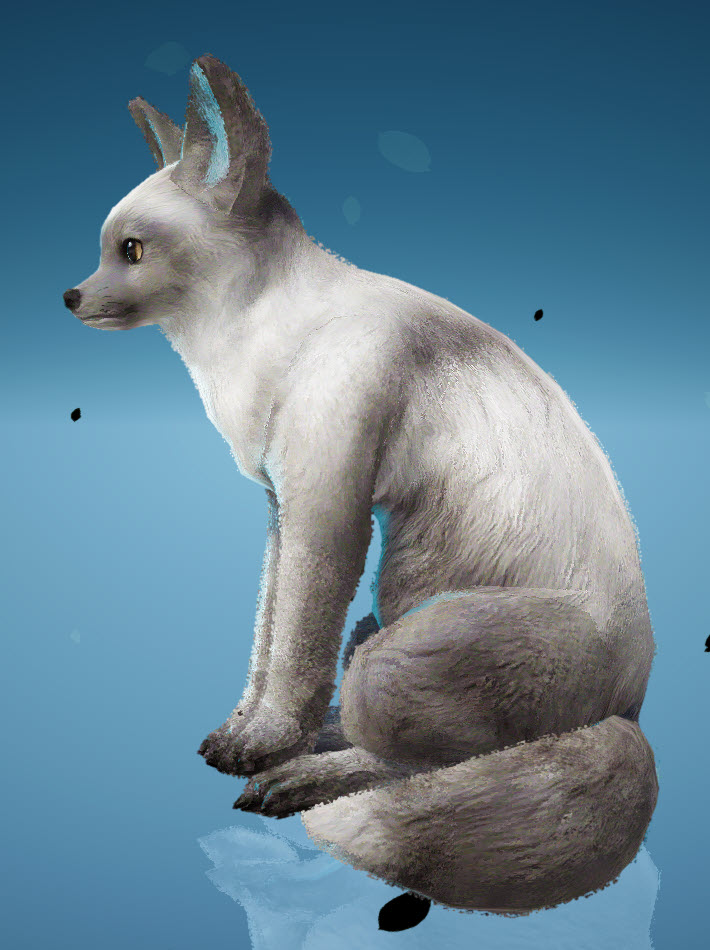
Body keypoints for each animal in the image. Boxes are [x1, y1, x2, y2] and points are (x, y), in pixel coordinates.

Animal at [63, 54, 658, 915]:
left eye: (132, 250)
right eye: (106, 249)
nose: (71, 296)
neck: (263, 337)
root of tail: (629, 708)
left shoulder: (328, 506)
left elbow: (296, 646)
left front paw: (264, 746)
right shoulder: (282, 508)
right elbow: (269, 639)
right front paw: (248, 728)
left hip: (395, 659)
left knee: (415, 763)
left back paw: (300, 780)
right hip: (380, 624)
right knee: (382, 727)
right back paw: (323, 739)